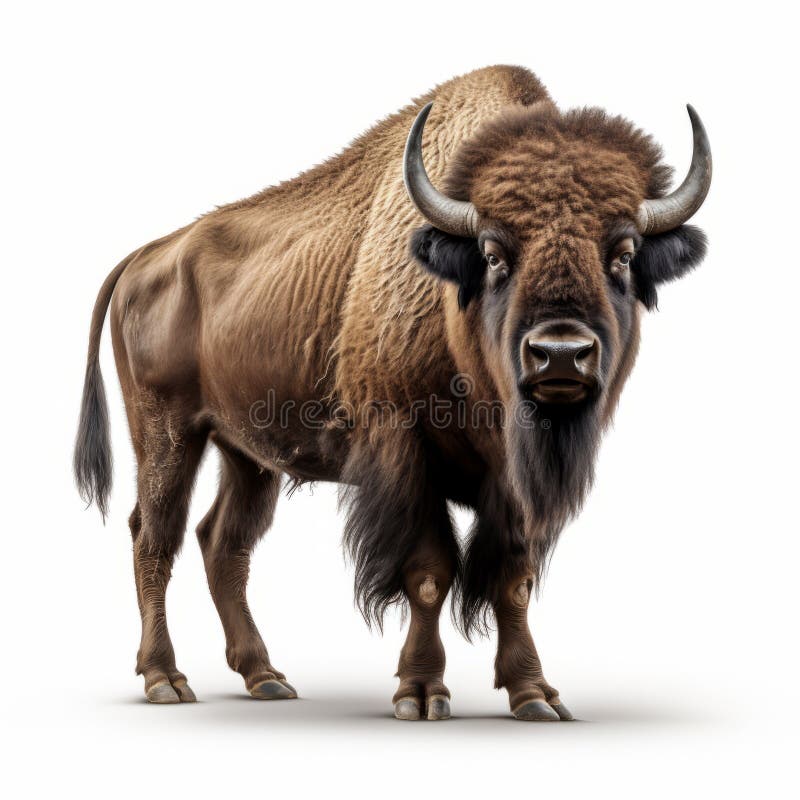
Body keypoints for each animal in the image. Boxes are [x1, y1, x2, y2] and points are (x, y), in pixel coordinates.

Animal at [75, 66, 710, 720]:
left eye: (625, 254)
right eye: (492, 253)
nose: (560, 353)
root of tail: (146, 257)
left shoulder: (514, 486)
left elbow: (512, 579)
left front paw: (535, 695)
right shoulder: (406, 454)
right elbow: (429, 572)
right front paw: (422, 693)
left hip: (247, 456)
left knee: (223, 543)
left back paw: (265, 677)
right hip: (167, 433)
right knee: (154, 537)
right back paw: (165, 679)